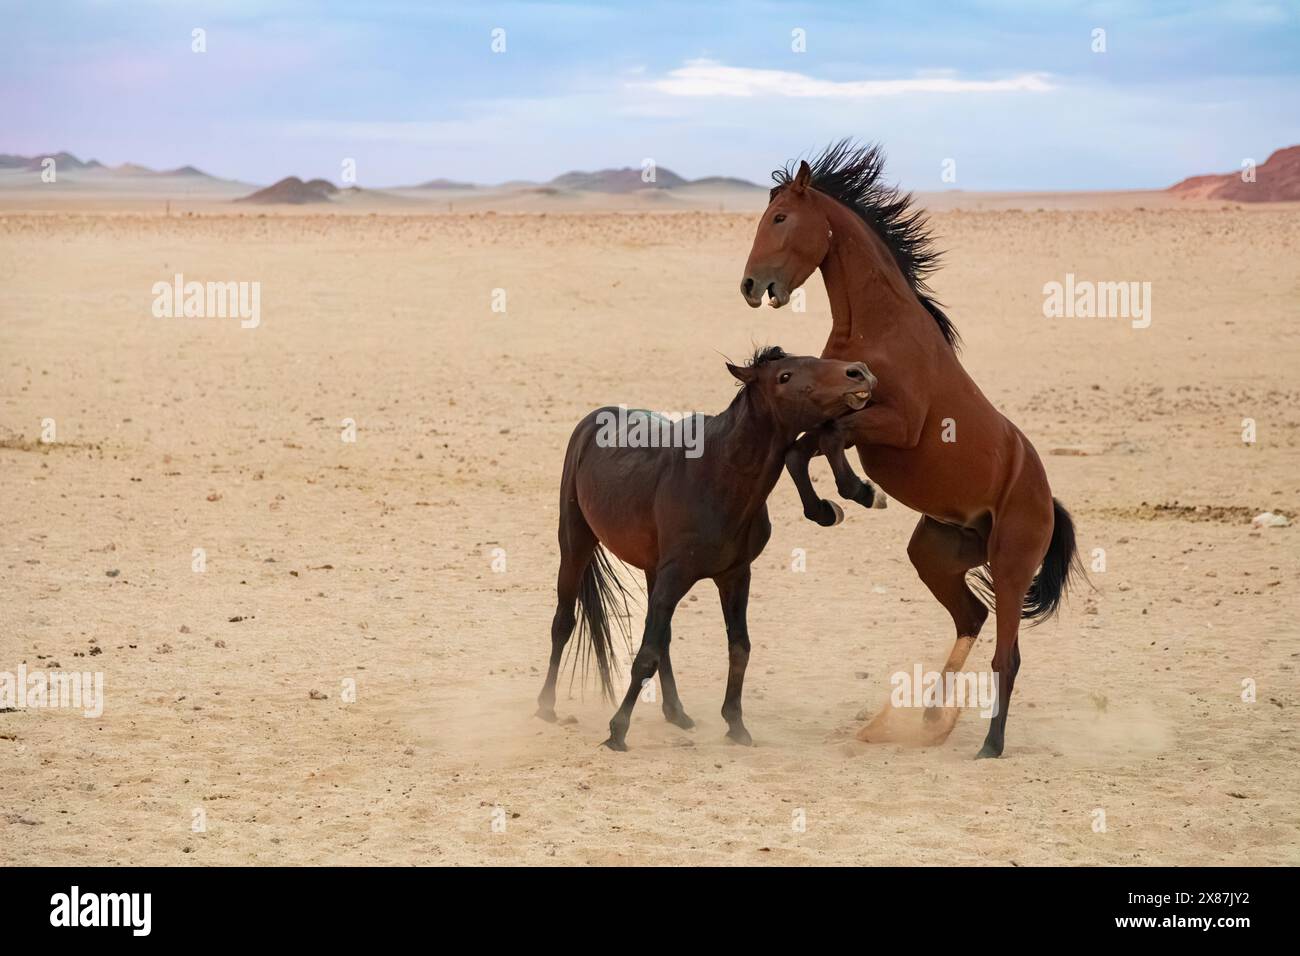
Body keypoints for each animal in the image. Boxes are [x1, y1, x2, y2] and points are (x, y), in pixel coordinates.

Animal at [536, 346, 877, 751]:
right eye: (785, 376)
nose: (859, 373)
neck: (718, 475)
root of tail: (594, 419)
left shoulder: (734, 576)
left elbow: (738, 647)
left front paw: (736, 725)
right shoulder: (675, 576)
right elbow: (646, 655)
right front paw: (617, 731)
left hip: (651, 568)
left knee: (662, 637)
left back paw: (676, 713)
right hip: (576, 542)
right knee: (564, 621)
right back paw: (546, 706)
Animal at [739, 141, 1084, 758]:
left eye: (779, 218)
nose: (752, 285)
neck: (878, 328)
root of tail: (1047, 499)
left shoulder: (894, 424)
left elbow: (828, 441)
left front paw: (857, 491)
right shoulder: (838, 410)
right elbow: (801, 450)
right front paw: (828, 507)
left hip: (1011, 566)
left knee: (1008, 656)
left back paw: (989, 744)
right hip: (936, 555)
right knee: (971, 617)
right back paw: (927, 719)